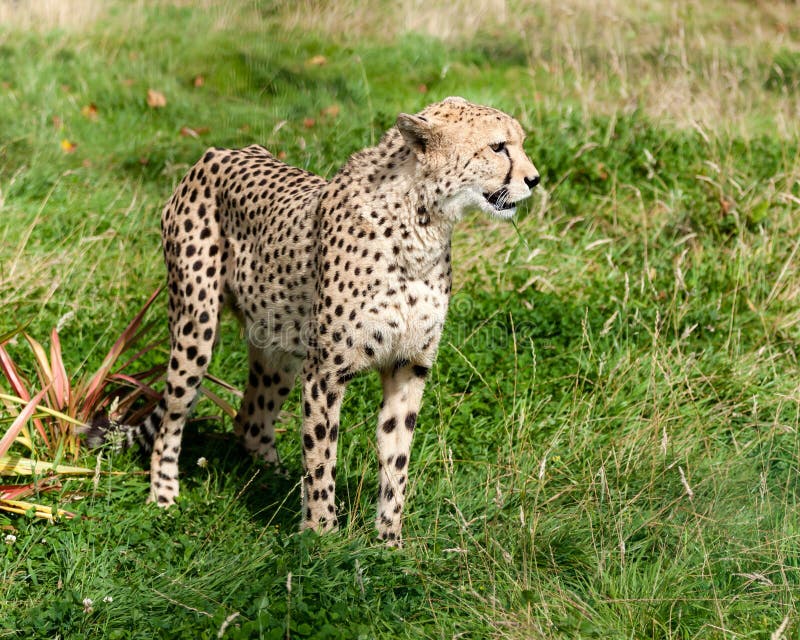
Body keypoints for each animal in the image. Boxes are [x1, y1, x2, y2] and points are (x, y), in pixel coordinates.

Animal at [103, 97, 539, 545]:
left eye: (519, 143)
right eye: (498, 147)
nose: (534, 180)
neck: (422, 224)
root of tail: (218, 152)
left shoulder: (409, 366)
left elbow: (396, 457)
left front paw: (390, 542)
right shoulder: (326, 371)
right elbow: (320, 452)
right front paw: (321, 536)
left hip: (279, 347)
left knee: (251, 417)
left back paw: (271, 481)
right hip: (197, 326)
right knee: (174, 415)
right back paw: (164, 496)